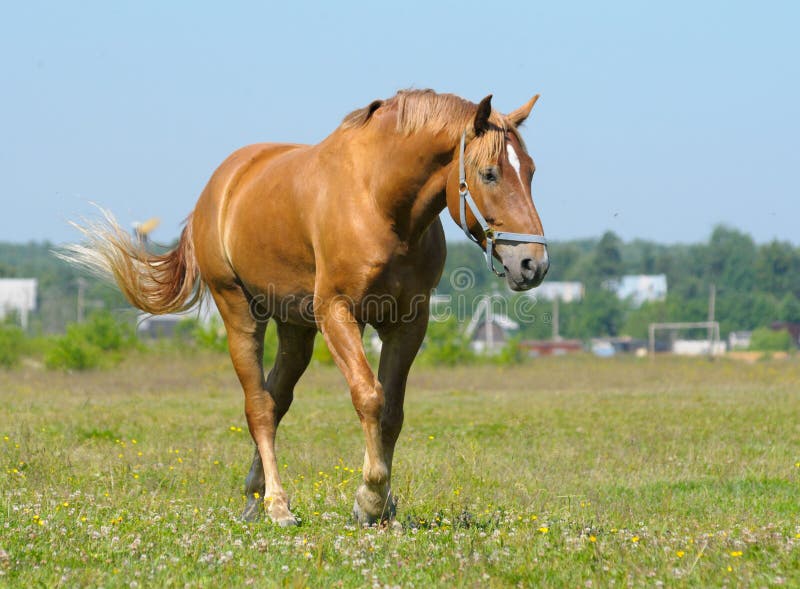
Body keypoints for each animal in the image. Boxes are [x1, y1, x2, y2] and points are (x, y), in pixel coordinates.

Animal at [63, 89, 548, 526]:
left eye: (530, 171)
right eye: (489, 173)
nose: (533, 263)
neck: (378, 202)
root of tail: (219, 187)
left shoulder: (408, 322)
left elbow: (392, 410)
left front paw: (384, 506)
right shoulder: (336, 312)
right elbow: (369, 396)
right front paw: (370, 498)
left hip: (295, 328)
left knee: (276, 400)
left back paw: (254, 496)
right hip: (240, 312)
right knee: (258, 406)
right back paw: (277, 505)